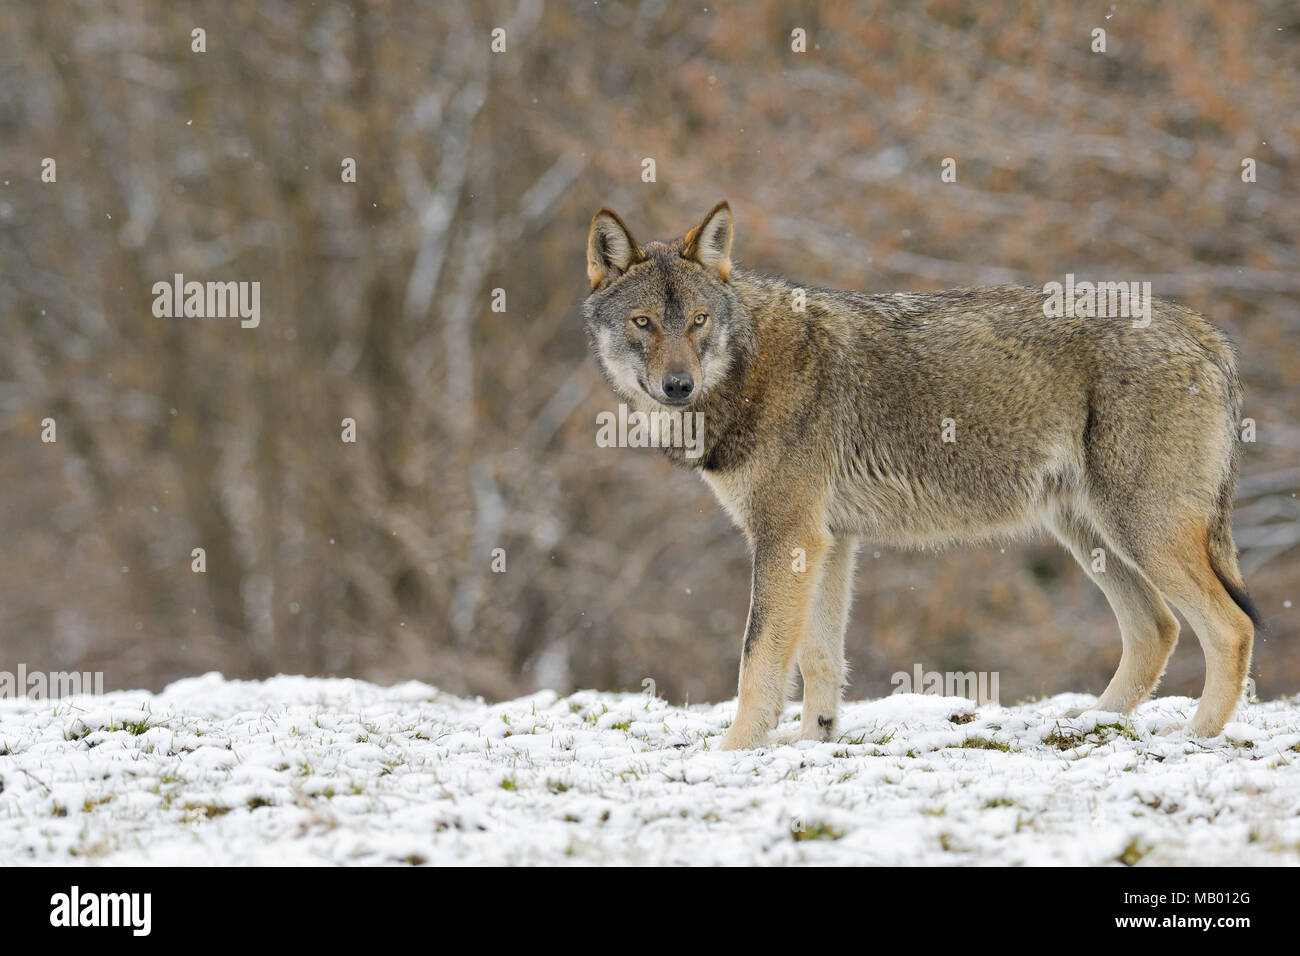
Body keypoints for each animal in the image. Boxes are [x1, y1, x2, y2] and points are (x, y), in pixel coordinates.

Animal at [582, 201, 1259, 750]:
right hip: (1092, 536)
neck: (748, 368)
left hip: (1140, 531)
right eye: (644, 322)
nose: (678, 385)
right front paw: (813, 744)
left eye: (697, 320)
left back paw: (1195, 737)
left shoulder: (788, 538)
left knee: (1232, 627)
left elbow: (758, 661)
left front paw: (734, 752)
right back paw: (1089, 724)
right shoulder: (826, 542)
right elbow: (820, 660)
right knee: (1156, 630)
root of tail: (1206, 333)